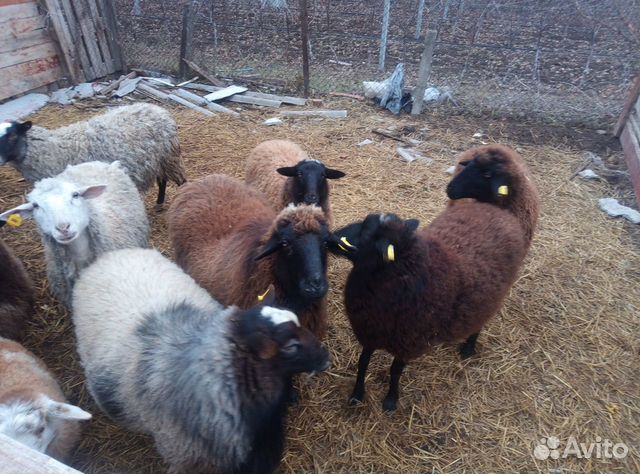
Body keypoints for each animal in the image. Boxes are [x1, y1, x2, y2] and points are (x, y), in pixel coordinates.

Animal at [0, 103, 186, 204]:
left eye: (12, 136)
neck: (51, 150)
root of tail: (158, 109)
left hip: (169, 157)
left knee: (181, 181)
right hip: (158, 160)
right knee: (162, 180)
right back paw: (159, 202)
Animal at [330, 145, 539, 412]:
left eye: (367, 233)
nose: (329, 236)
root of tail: (493, 209)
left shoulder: (409, 342)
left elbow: (395, 371)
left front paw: (391, 400)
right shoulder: (370, 330)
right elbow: (363, 362)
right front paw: (357, 394)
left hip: (494, 294)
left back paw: (468, 347)